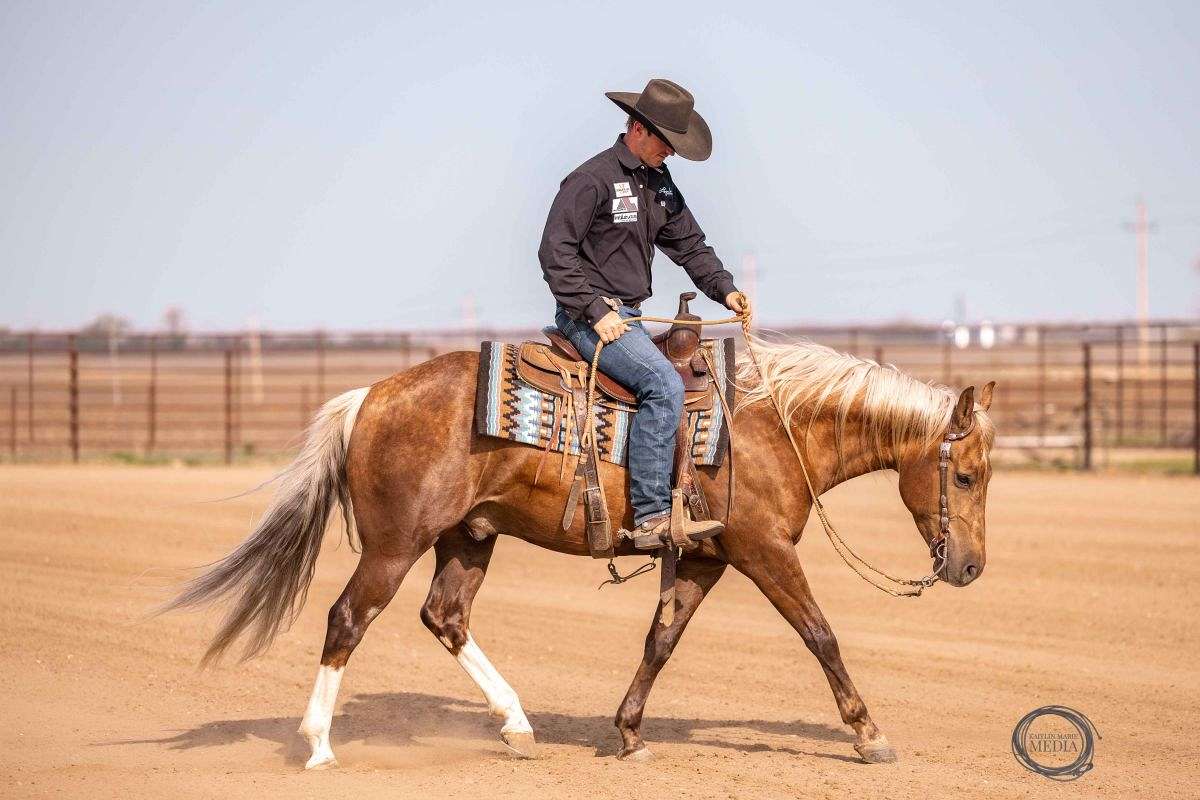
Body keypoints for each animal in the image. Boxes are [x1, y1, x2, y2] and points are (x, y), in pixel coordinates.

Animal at [164, 335, 996, 769]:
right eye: (966, 473)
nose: (970, 568)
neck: (772, 426)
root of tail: (369, 396)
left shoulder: (705, 558)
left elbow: (661, 639)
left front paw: (627, 731)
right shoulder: (763, 550)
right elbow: (820, 633)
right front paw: (870, 734)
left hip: (467, 538)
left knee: (445, 617)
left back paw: (516, 724)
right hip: (394, 546)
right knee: (347, 619)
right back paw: (318, 746)